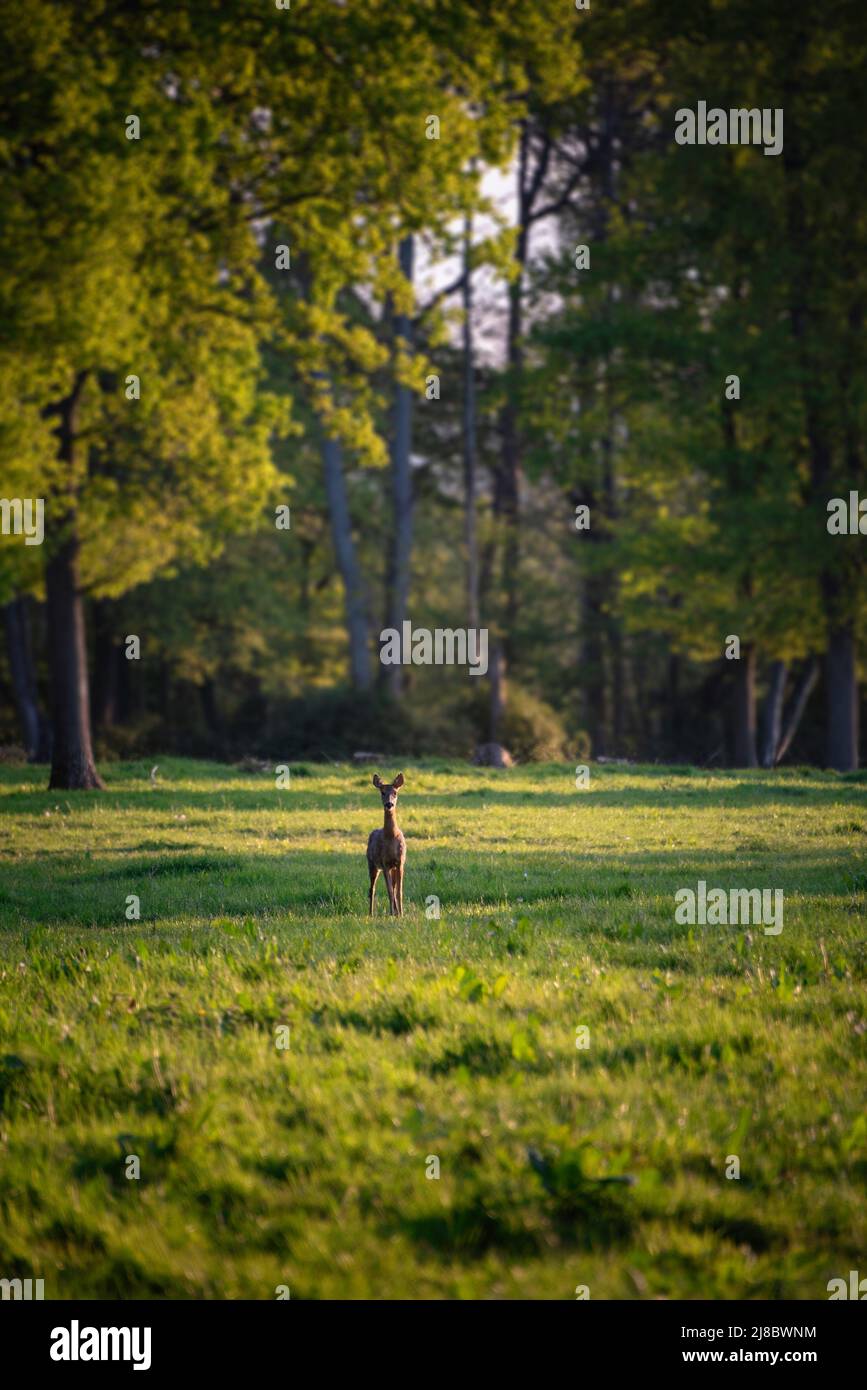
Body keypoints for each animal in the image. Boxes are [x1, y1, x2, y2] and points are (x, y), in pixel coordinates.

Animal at [367, 773, 406, 916]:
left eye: (395, 792)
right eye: (382, 792)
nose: (389, 804)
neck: (391, 836)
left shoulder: (400, 862)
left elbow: (399, 891)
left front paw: (401, 913)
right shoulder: (384, 863)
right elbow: (389, 890)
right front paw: (392, 912)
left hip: (391, 868)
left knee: (393, 888)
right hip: (372, 863)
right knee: (372, 889)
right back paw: (371, 913)